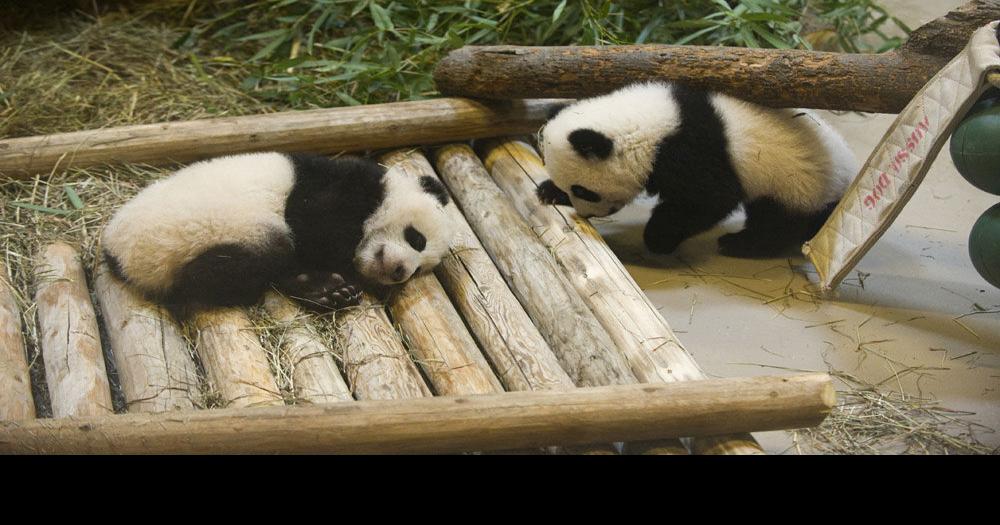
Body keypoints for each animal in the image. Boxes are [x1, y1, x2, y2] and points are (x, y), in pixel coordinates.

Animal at [101, 152, 455, 312]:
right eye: (417, 238)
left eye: (419, 271)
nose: (400, 272)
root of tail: (114, 253)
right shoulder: (334, 187)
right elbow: (314, 227)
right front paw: (331, 276)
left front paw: (332, 288)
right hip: (188, 234)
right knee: (246, 263)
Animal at [536, 81, 859, 257]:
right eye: (571, 189)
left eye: (584, 191)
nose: (585, 214)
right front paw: (548, 191)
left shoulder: (693, 151)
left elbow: (710, 199)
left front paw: (659, 238)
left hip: (798, 185)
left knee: (776, 222)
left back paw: (739, 244)